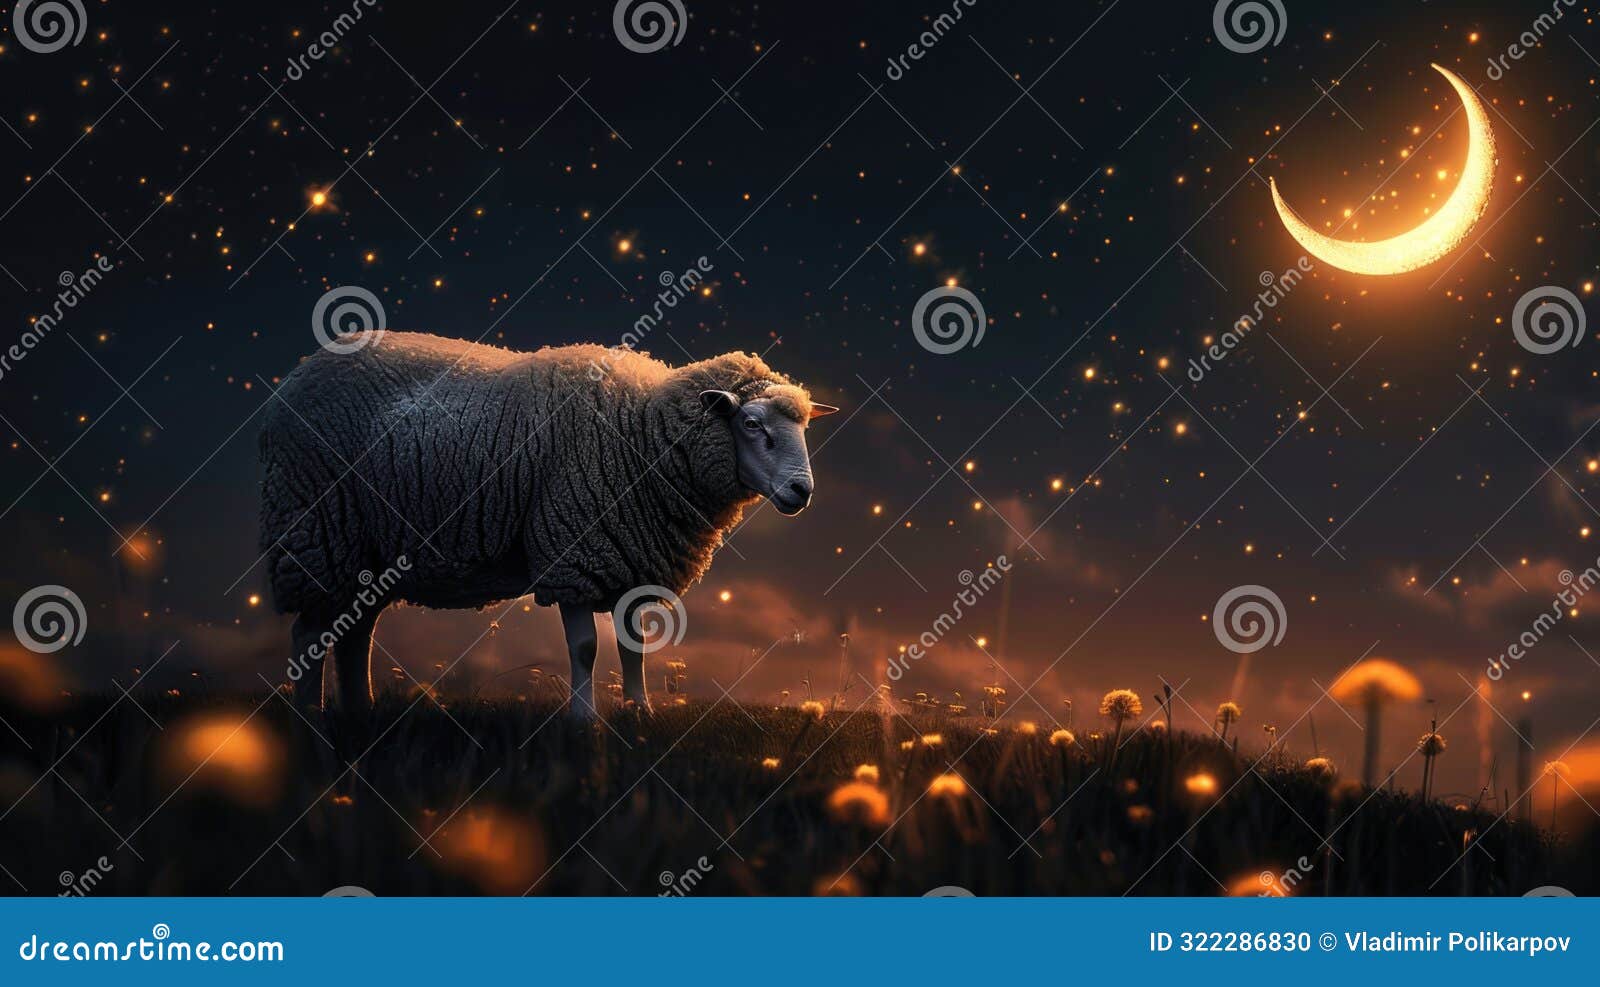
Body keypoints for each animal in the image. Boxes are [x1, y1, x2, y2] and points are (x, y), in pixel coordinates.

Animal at [258, 331, 835, 717]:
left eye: (805, 427)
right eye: (752, 425)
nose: (803, 493)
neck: (641, 432)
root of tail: (297, 373)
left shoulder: (631, 557)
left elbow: (634, 649)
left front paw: (640, 712)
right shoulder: (574, 550)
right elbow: (584, 649)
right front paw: (584, 721)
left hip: (365, 555)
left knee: (356, 633)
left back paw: (361, 710)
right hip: (317, 532)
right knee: (309, 633)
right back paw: (311, 716)